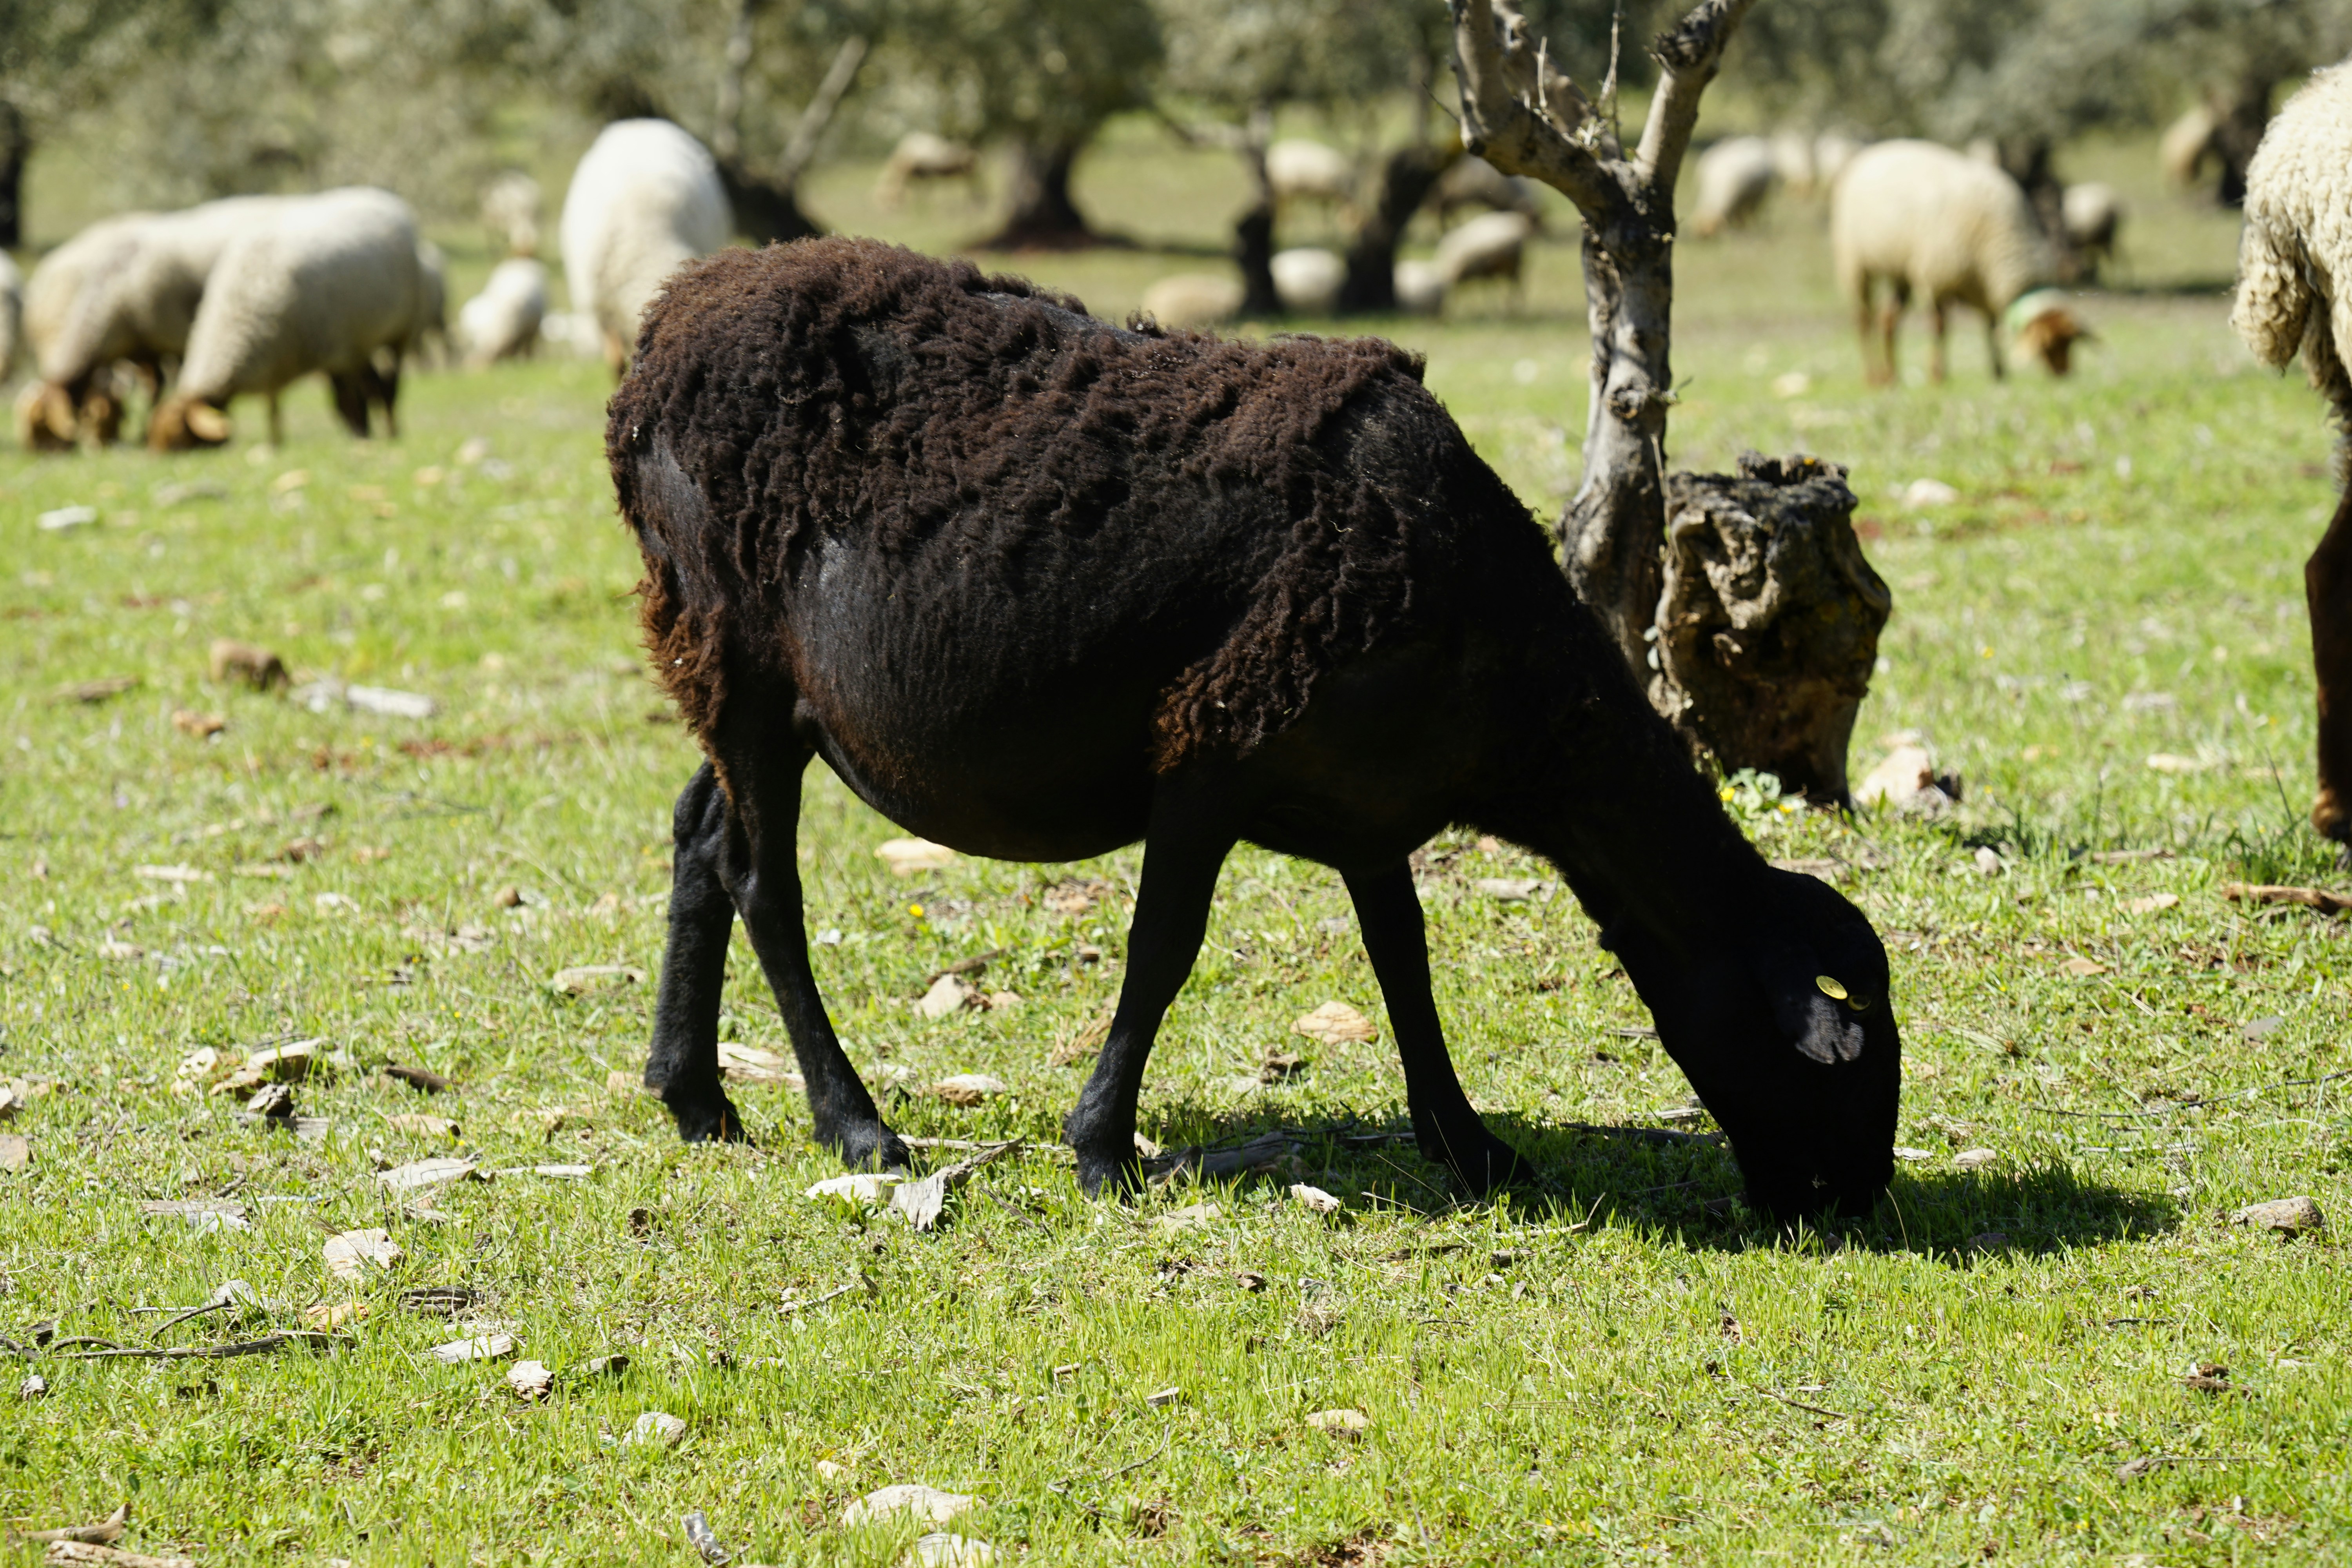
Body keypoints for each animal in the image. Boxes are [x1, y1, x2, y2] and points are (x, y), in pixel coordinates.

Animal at [149, 187, 432, 449]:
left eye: (181, 439)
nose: (156, 457)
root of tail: (377, 194)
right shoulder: (277, 357)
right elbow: (274, 405)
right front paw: (276, 442)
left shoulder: (339, 352)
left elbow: (348, 400)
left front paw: (359, 436)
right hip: (361, 344)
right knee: (373, 385)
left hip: (398, 333)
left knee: (389, 386)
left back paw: (390, 430)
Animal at [609, 236, 1903, 1223]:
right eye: (1843, 1052)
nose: (1854, 1202)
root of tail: (667, 322)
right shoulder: (1211, 753)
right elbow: (1163, 950)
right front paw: (1101, 1146)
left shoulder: (1371, 800)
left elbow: (1404, 965)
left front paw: (1470, 1143)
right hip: (733, 643)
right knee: (760, 878)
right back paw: (854, 1123)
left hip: (754, 683)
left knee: (696, 833)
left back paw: (694, 1096)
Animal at [875, 131, 983, 208]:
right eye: (880, 199)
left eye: (889, 198)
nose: (884, 210)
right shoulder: (917, 177)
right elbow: (918, 191)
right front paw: (919, 203)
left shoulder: (928, 174)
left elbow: (926, 191)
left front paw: (925, 204)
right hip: (967, 173)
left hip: (970, 172)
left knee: (976, 186)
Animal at [1831, 139, 2089, 383]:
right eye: (2048, 346)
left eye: (2069, 343)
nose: (2064, 374)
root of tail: (1873, 152)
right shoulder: (1936, 282)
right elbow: (1940, 328)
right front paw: (1938, 376)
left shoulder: (1984, 291)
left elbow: (1992, 330)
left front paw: (1999, 375)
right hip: (1855, 265)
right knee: (1864, 321)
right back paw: (1873, 378)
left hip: (1902, 271)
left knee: (1888, 319)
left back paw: (1892, 378)